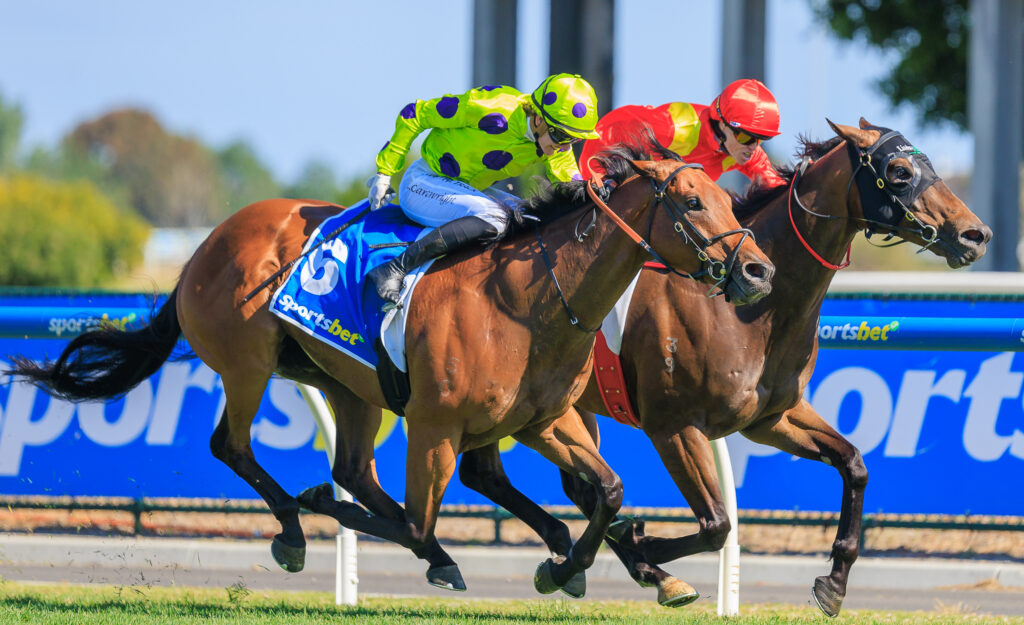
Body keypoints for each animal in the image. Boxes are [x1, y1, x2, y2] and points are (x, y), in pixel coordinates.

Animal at [6, 137, 774, 597]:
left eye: (731, 198)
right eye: (693, 201)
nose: (758, 271)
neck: (529, 298)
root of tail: (206, 244)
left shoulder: (543, 420)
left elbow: (608, 490)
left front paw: (569, 565)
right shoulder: (434, 426)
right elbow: (417, 519)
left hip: (345, 382)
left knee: (354, 468)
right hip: (248, 363)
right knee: (233, 445)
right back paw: (295, 527)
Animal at [457, 119, 992, 614]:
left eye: (930, 166)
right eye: (899, 171)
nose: (976, 234)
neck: (750, 311)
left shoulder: (770, 417)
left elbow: (854, 464)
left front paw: (834, 582)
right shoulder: (674, 426)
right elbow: (717, 523)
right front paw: (645, 545)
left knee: (497, 476)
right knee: (503, 476)